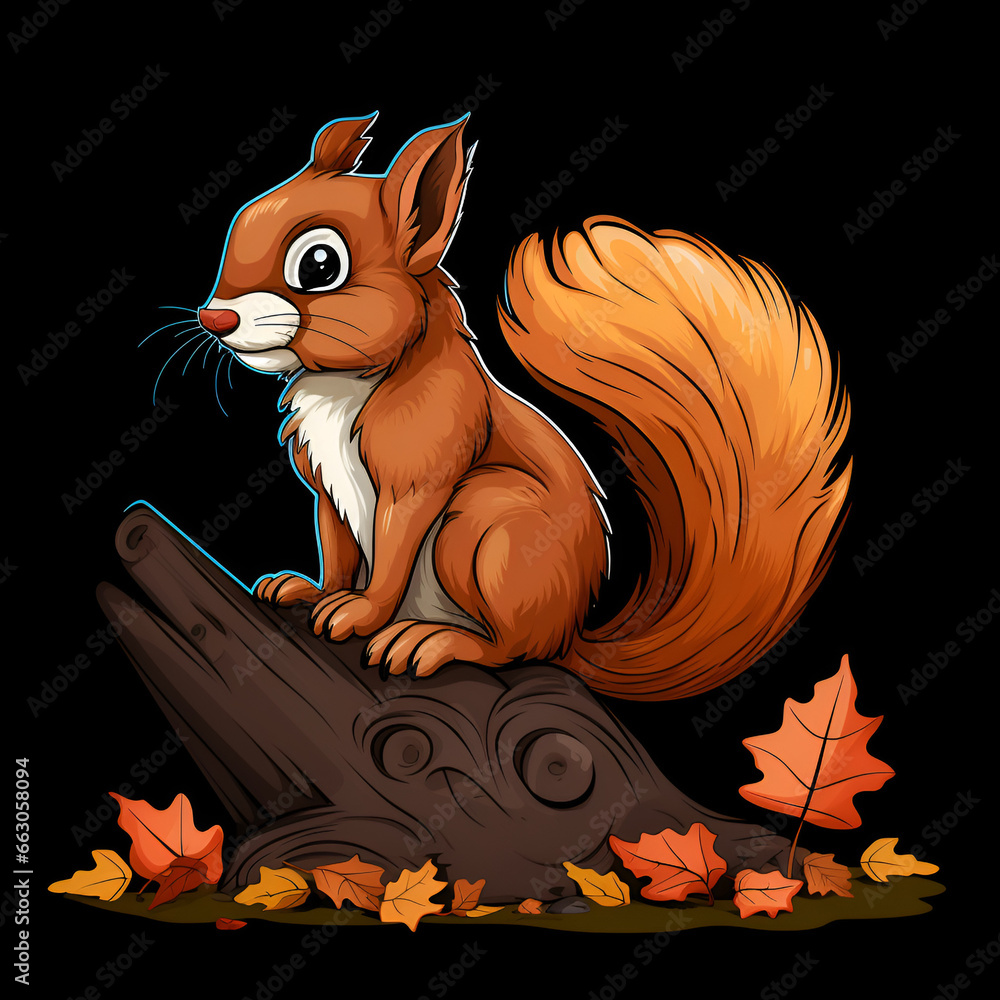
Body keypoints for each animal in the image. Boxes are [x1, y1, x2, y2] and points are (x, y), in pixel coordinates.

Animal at [195, 112, 850, 700]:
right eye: (241, 220)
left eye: (320, 264)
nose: (213, 318)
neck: (342, 386)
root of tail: (570, 636)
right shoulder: (326, 480)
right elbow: (335, 548)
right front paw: (311, 590)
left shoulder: (419, 465)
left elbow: (392, 553)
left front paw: (358, 614)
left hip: (487, 528)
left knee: (511, 649)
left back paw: (432, 641)